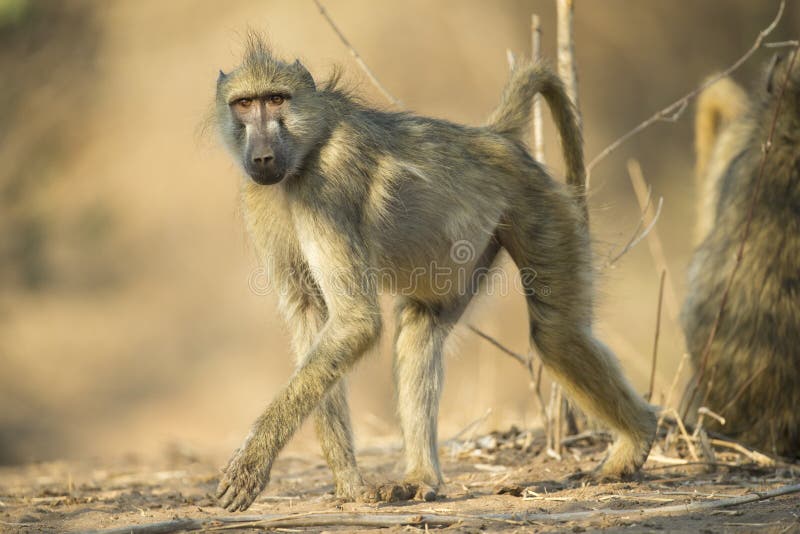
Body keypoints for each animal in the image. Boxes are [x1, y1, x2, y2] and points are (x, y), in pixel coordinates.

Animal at [212, 34, 656, 512]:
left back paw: (638, 438)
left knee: (556, 335)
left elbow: (355, 321)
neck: (306, 153)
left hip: (542, 206)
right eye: (244, 104)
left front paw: (252, 464)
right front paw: (348, 484)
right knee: (420, 326)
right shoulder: (259, 199)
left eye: (277, 99)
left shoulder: (327, 186)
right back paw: (423, 479)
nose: (262, 156)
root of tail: (493, 139)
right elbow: (311, 313)